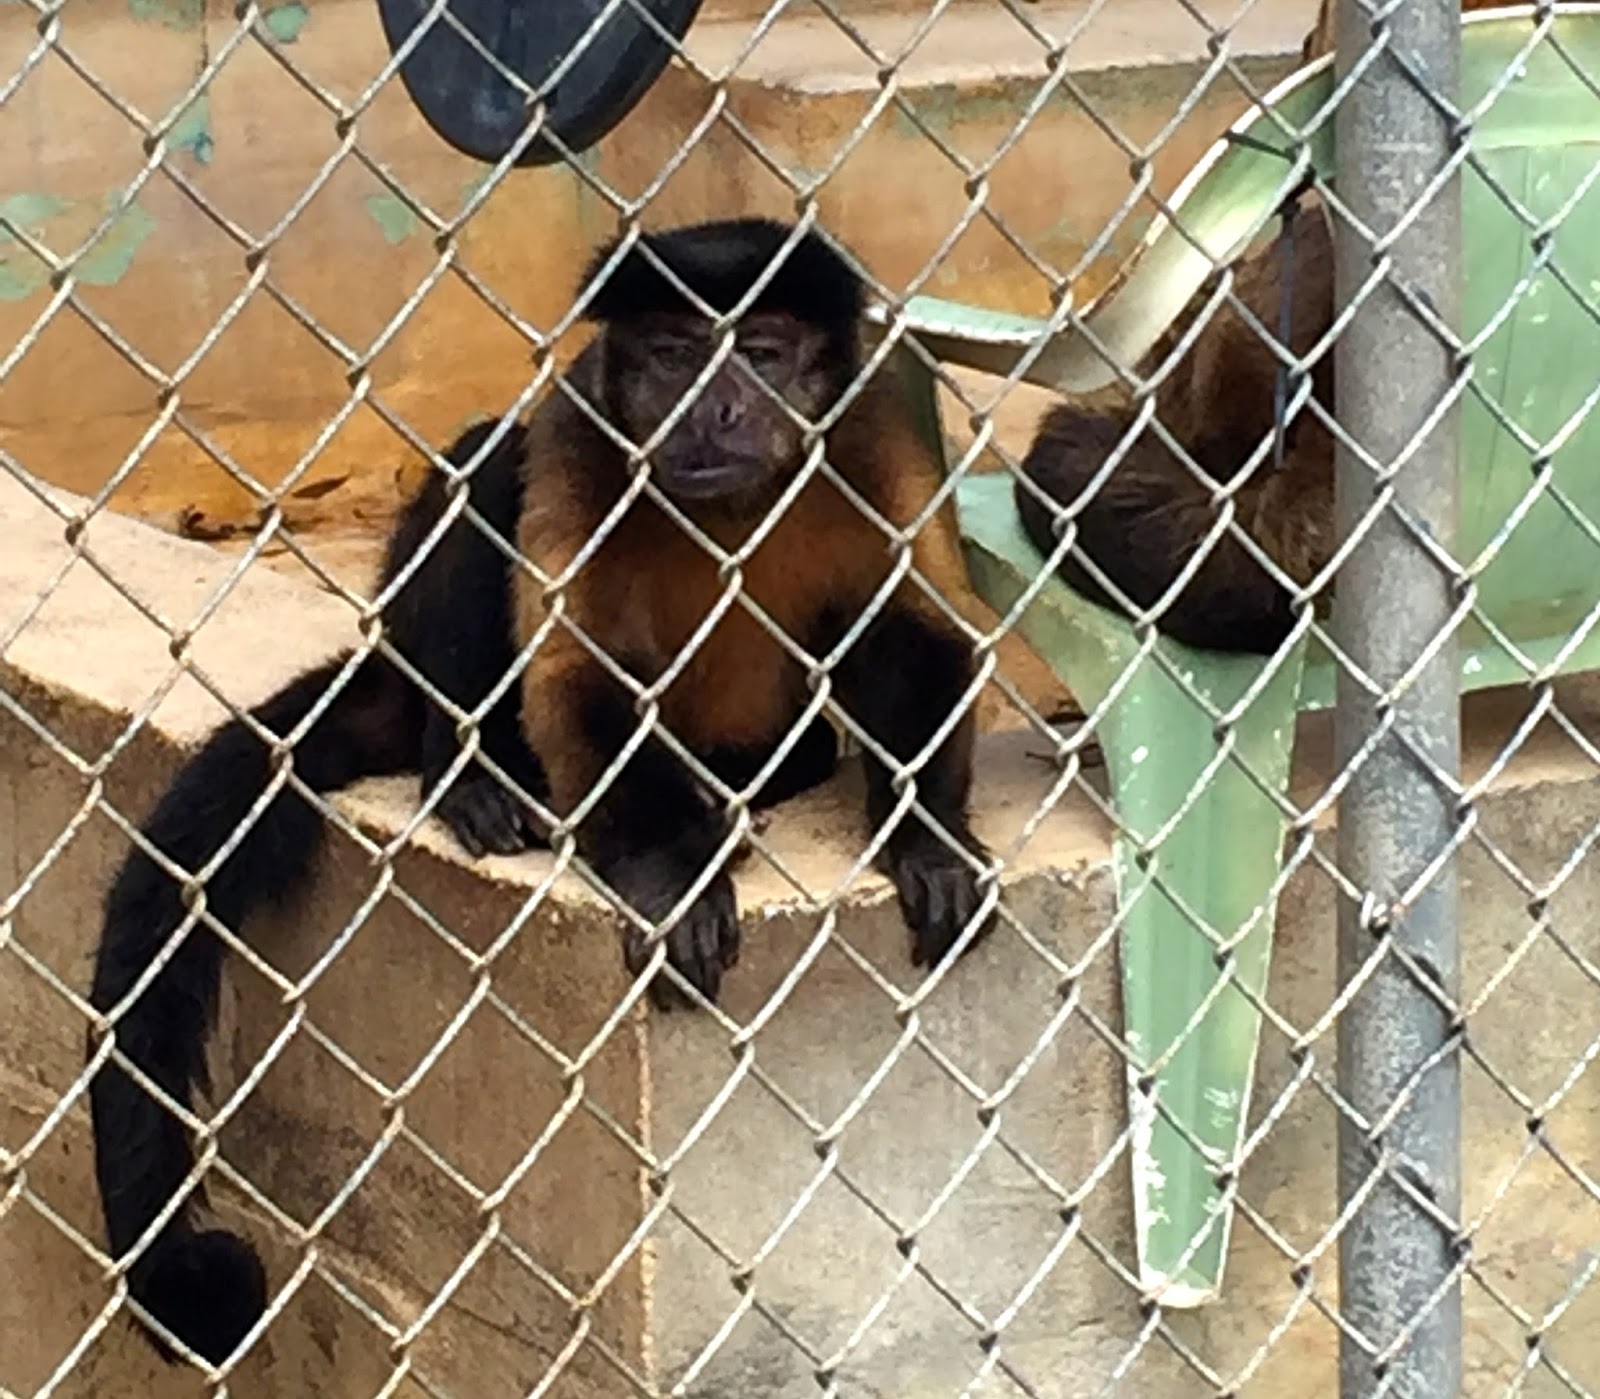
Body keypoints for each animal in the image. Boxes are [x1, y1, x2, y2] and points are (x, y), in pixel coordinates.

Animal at [86, 216, 993, 1367]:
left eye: (761, 353)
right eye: (673, 353)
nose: (713, 405)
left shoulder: (866, 425)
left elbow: (912, 626)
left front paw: (928, 834)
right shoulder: (582, 425)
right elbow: (575, 672)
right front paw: (667, 879)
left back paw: (749, 785)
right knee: (487, 458)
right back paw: (471, 774)